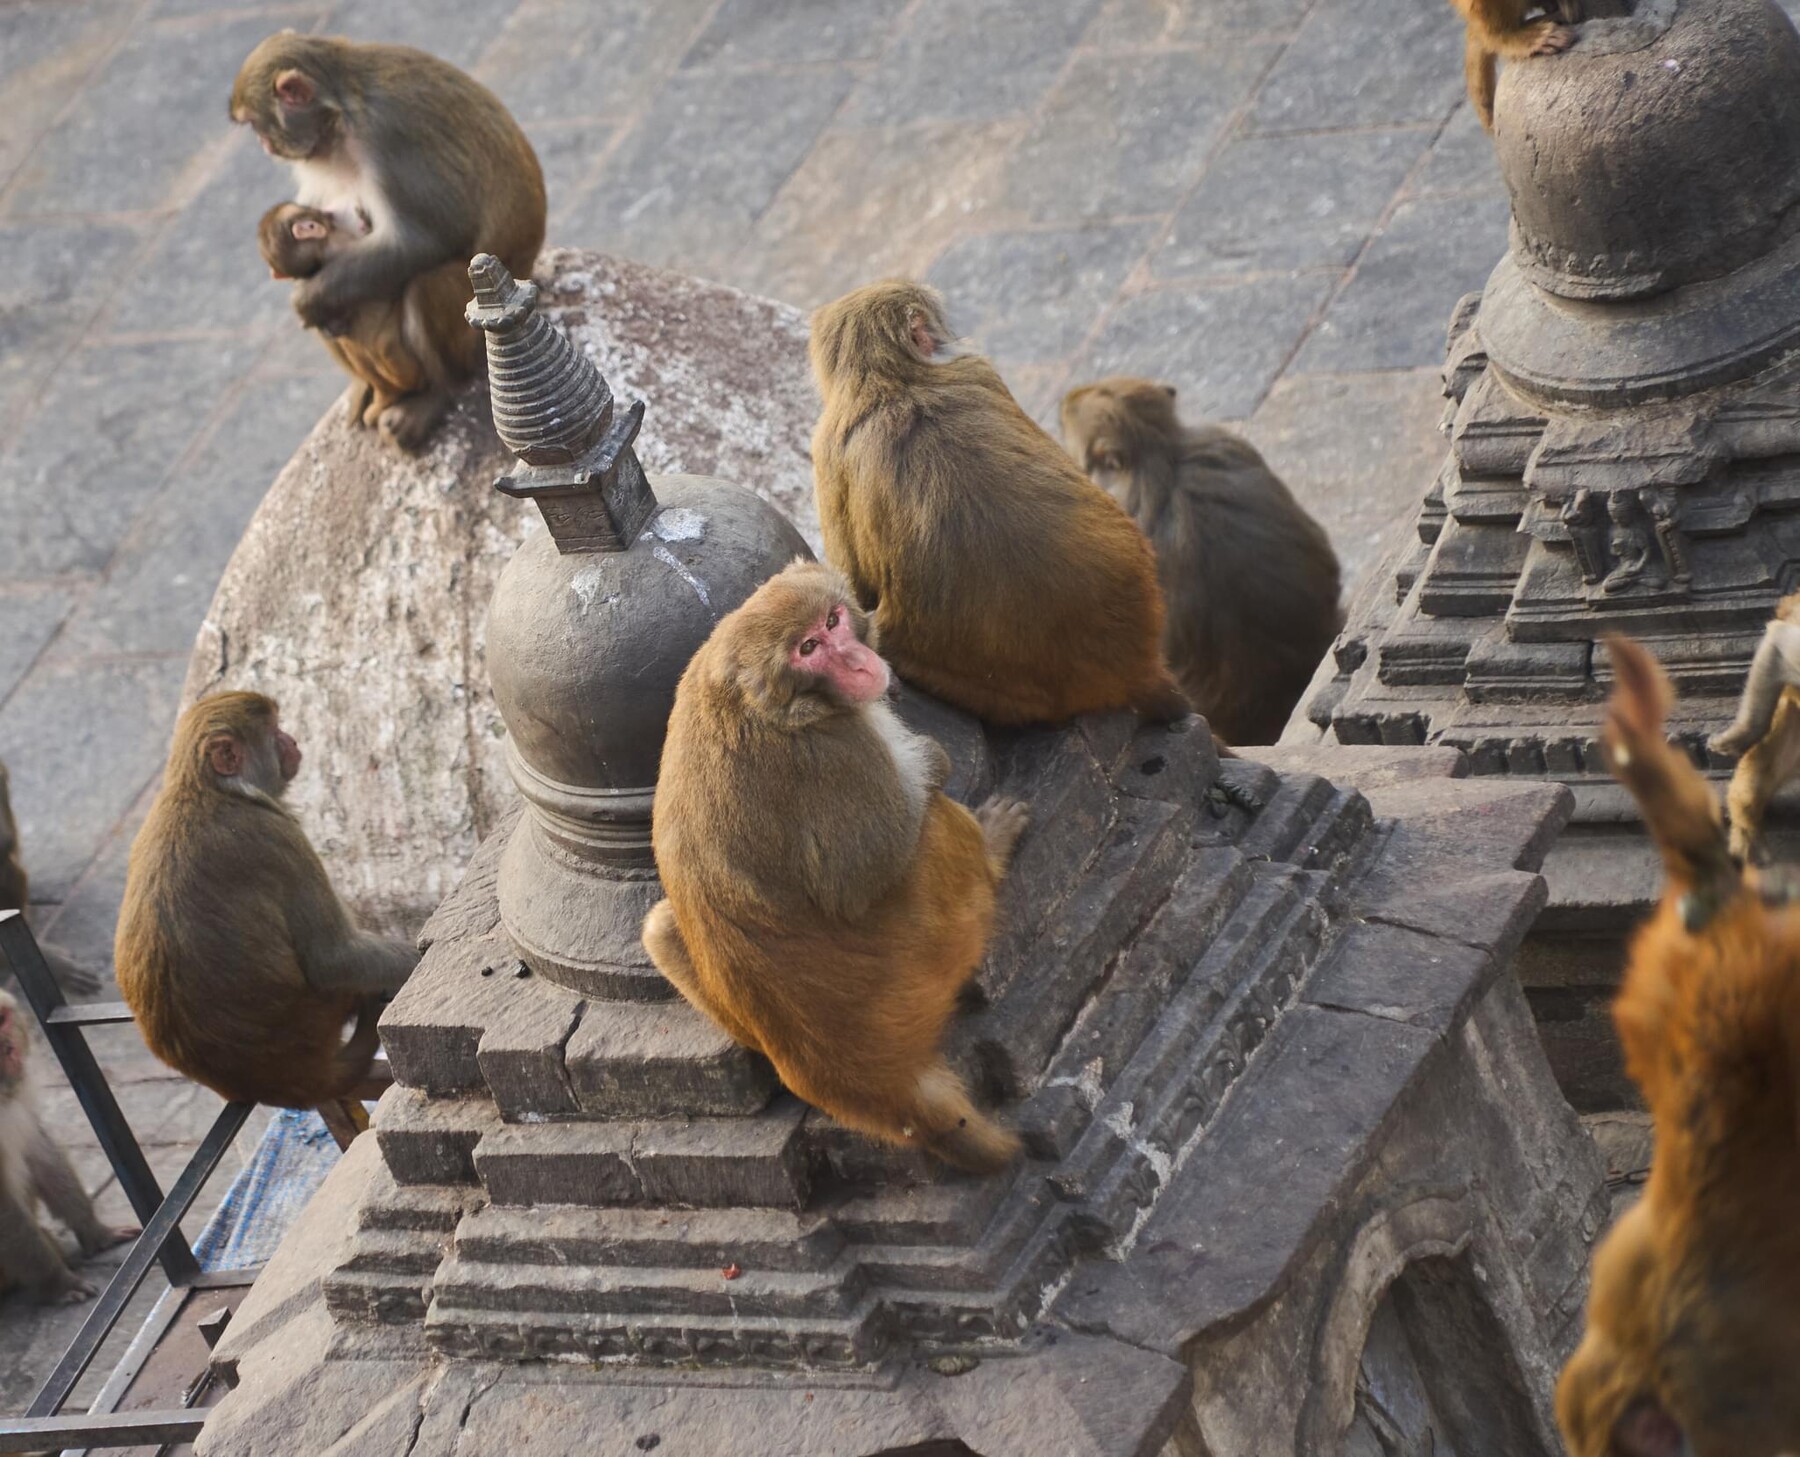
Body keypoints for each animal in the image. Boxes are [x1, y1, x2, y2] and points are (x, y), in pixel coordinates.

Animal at [114, 692, 418, 1109]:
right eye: (274, 730)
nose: (292, 740)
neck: (209, 790)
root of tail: (283, 1084)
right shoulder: (277, 837)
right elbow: (331, 959)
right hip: (322, 1015)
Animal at [644, 560, 1029, 1174]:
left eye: (832, 621)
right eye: (808, 648)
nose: (856, 661)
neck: (752, 699)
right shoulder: (836, 751)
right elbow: (863, 875)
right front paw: (933, 760)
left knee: (658, 926)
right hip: (938, 943)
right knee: (931, 828)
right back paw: (990, 851)